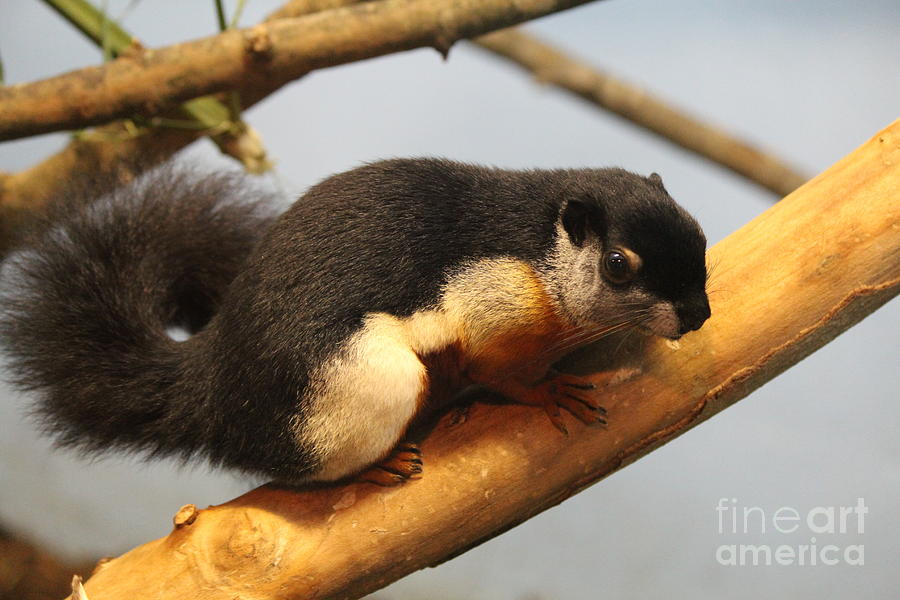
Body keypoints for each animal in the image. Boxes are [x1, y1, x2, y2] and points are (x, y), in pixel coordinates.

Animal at [0, 158, 710, 486]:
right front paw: (551, 392)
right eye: (617, 265)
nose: (698, 315)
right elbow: (503, 373)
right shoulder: (489, 304)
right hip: (366, 384)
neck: (539, 254)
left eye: (701, 234)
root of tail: (209, 389)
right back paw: (374, 468)